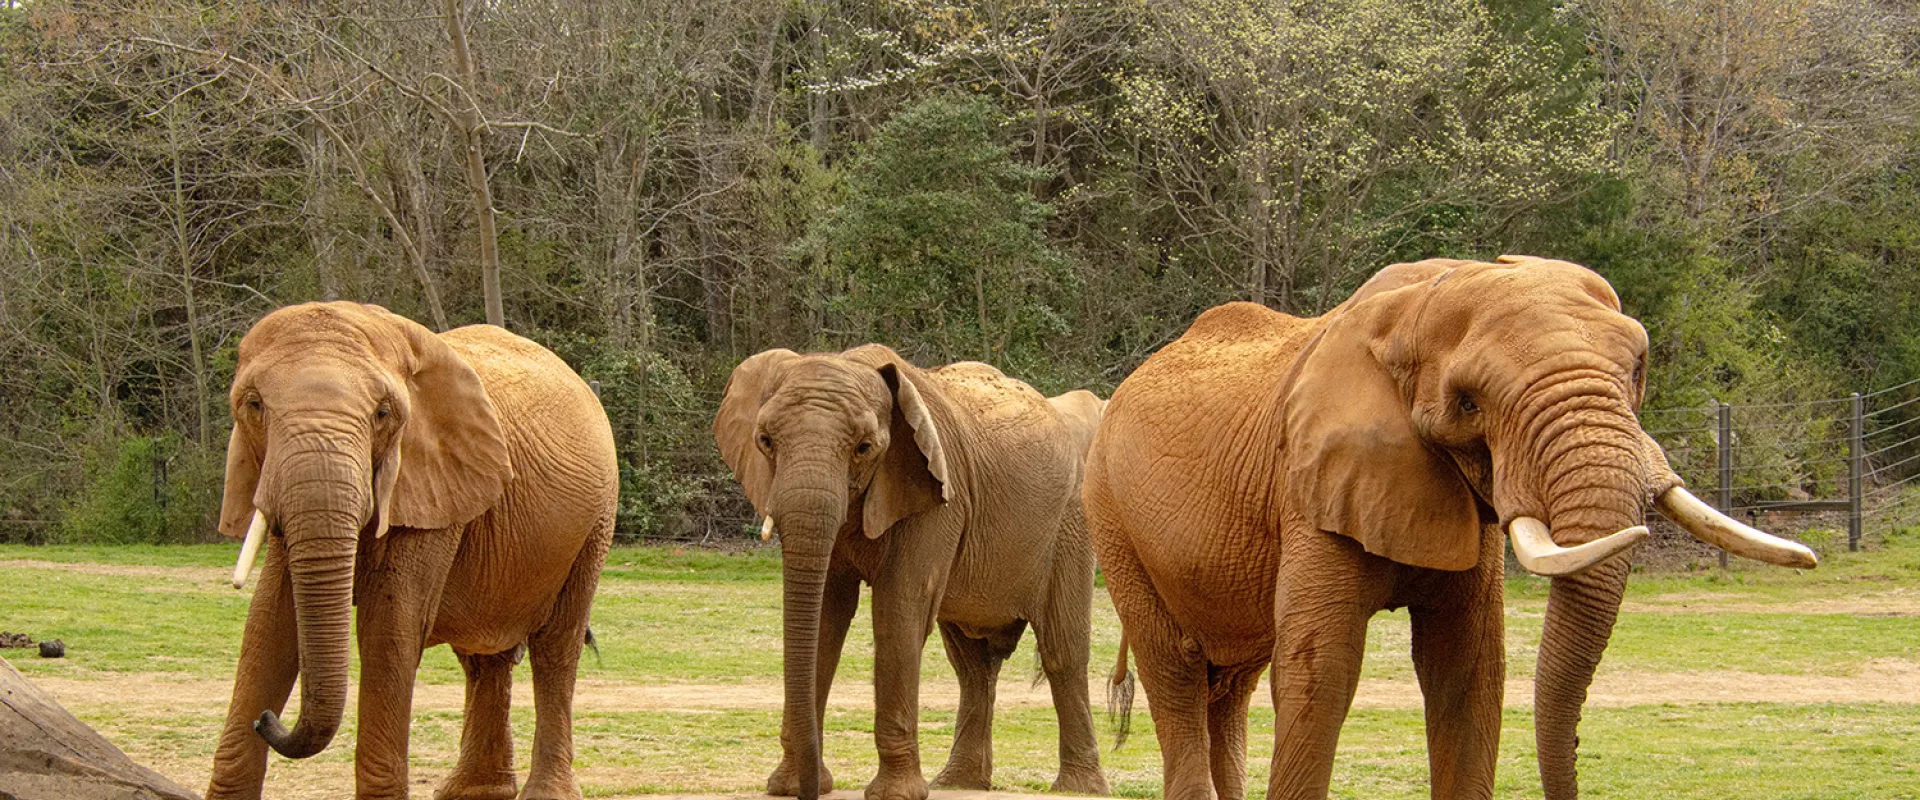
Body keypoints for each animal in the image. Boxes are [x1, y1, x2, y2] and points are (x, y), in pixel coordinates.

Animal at [204, 302, 618, 800]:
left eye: (383, 413)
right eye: (254, 405)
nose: (264, 720)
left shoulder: (434, 486)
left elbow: (389, 630)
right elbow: (269, 627)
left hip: (596, 520)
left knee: (556, 647)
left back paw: (542, 792)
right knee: (484, 658)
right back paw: (472, 792)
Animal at [712, 345, 1110, 800]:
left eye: (864, 447)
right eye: (765, 441)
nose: (811, 791)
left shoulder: (939, 493)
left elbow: (899, 609)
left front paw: (894, 795)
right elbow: (826, 617)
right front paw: (788, 784)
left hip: (1071, 525)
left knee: (1062, 650)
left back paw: (1078, 788)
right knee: (972, 665)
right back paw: (959, 782)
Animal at [1082, 256, 1817, 800]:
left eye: (1637, 370)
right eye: (1469, 404)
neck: (1414, 307)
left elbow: (1467, 670)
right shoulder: (1312, 484)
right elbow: (1323, 671)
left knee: (1230, 683)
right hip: (1110, 514)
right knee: (1177, 672)